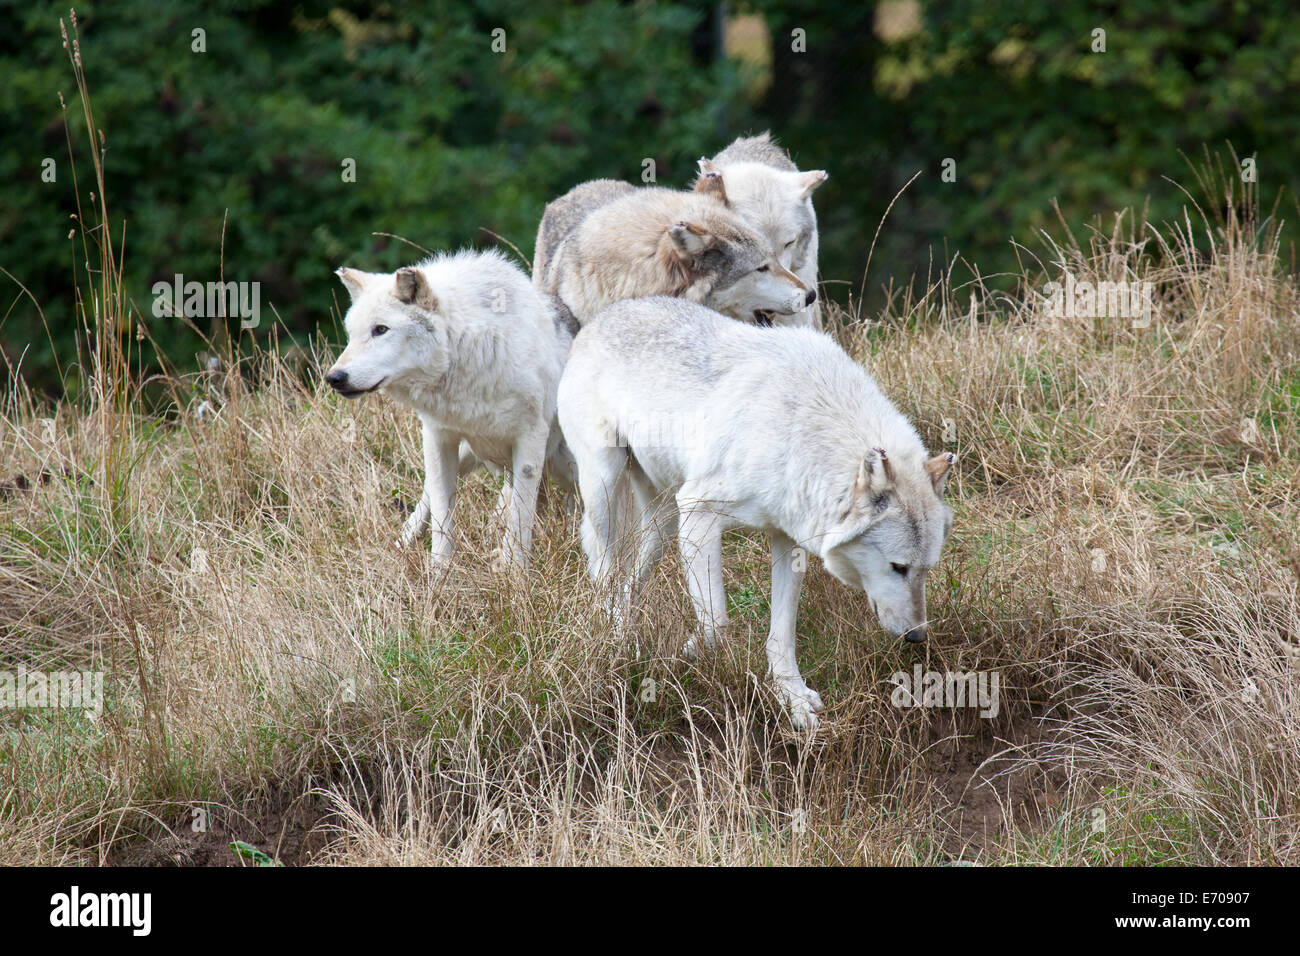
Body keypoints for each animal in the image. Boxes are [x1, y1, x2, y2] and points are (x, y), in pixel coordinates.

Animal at [325, 249, 575, 570]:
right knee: (426, 499)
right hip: (470, 454)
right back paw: (400, 547)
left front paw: (515, 574)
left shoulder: (530, 442)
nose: (334, 378)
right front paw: (439, 575)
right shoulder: (438, 437)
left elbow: (519, 521)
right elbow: (442, 519)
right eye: (351, 335)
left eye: (381, 330)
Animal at [557, 296, 956, 730]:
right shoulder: (698, 514)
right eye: (898, 567)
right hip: (607, 490)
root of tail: (604, 315)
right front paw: (691, 650)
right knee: (605, 567)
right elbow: (716, 622)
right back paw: (612, 638)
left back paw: (625, 632)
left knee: (630, 581)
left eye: (926, 569)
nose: (917, 637)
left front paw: (792, 697)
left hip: (664, 522)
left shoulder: (787, 539)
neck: (800, 431)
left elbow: (782, 633)